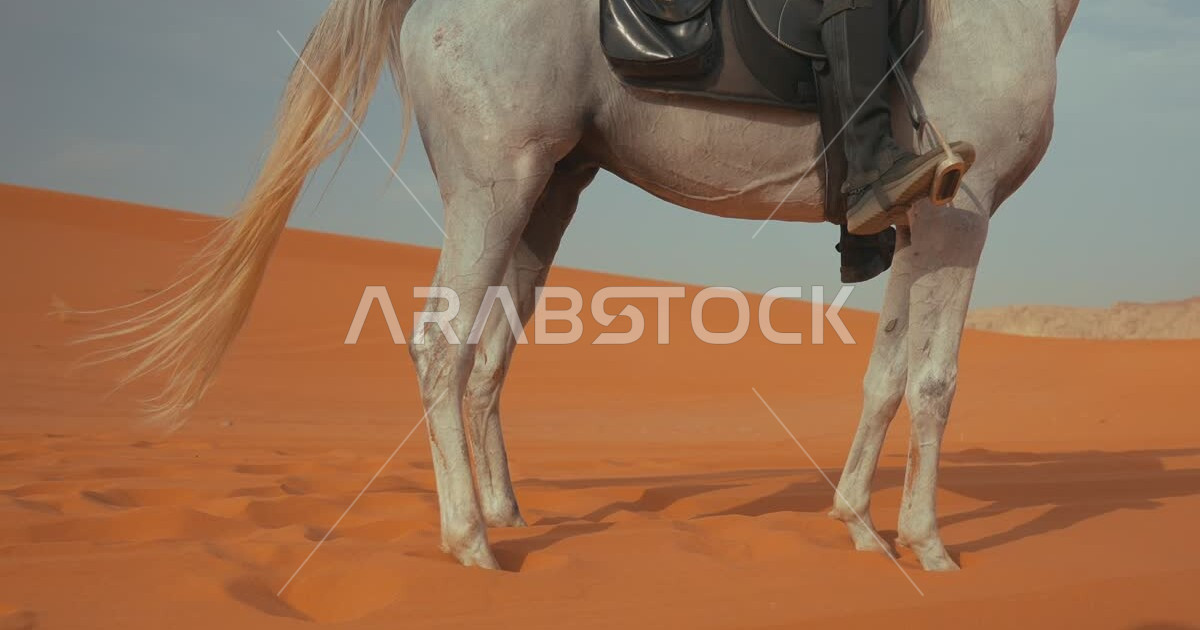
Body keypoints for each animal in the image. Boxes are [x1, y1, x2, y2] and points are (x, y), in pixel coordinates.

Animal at [95, 0, 1080, 571]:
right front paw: (928, 543)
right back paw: (469, 540)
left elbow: (884, 376)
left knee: (487, 357)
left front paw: (860, 526)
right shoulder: (963, 214)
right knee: (441, 347)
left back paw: (502, 511)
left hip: (544, 199)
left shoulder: (914, 221)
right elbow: (935, 382)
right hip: (492, 190)